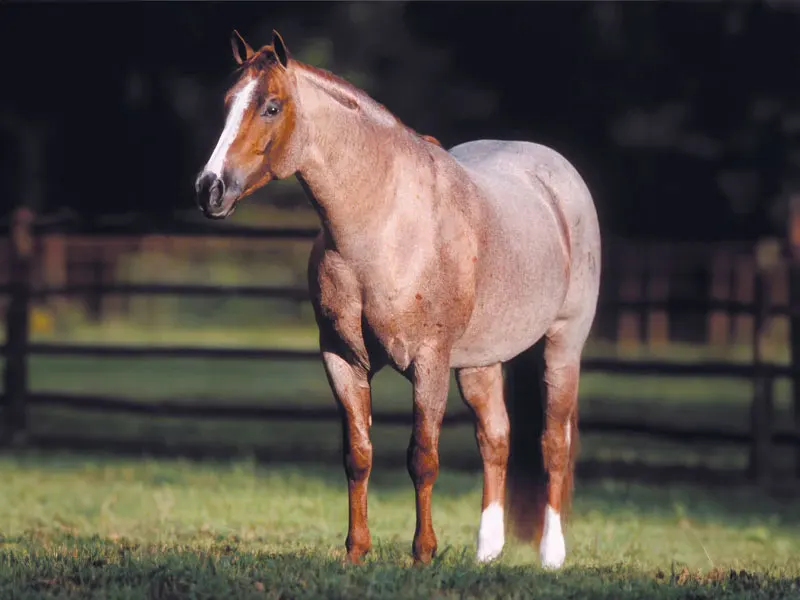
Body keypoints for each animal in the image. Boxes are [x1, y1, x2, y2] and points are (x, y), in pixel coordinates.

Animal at [194, 30, 601, 569]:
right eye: (227, 103)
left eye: (271, 107)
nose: (209, 189)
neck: (383, 227)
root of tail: (558, 175)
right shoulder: (343, 360)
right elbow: (358, 454)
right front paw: (356, 550)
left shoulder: (428, 363)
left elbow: (422, 457)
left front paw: (423, 554)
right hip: (480, 363)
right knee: (495, 438)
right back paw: (486, 552)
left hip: (562, 346)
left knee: (553, 441)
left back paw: (551, 555)